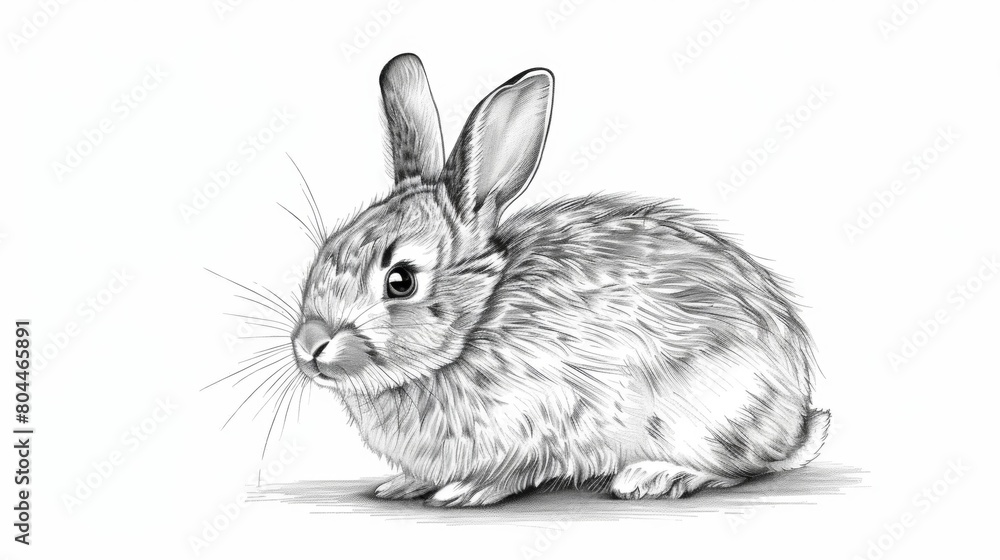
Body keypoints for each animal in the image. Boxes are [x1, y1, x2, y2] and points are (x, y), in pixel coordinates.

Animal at [290, 53, 830, 507]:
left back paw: (655, 476)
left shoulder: (553, 419)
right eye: (325, 253)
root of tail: (795, 420)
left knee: (741, 468)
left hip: (712, 414)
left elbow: (522, 467)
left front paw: (466, 491)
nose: (310, 344)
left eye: (400, 281)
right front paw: (405, 484)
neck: (477, 324)